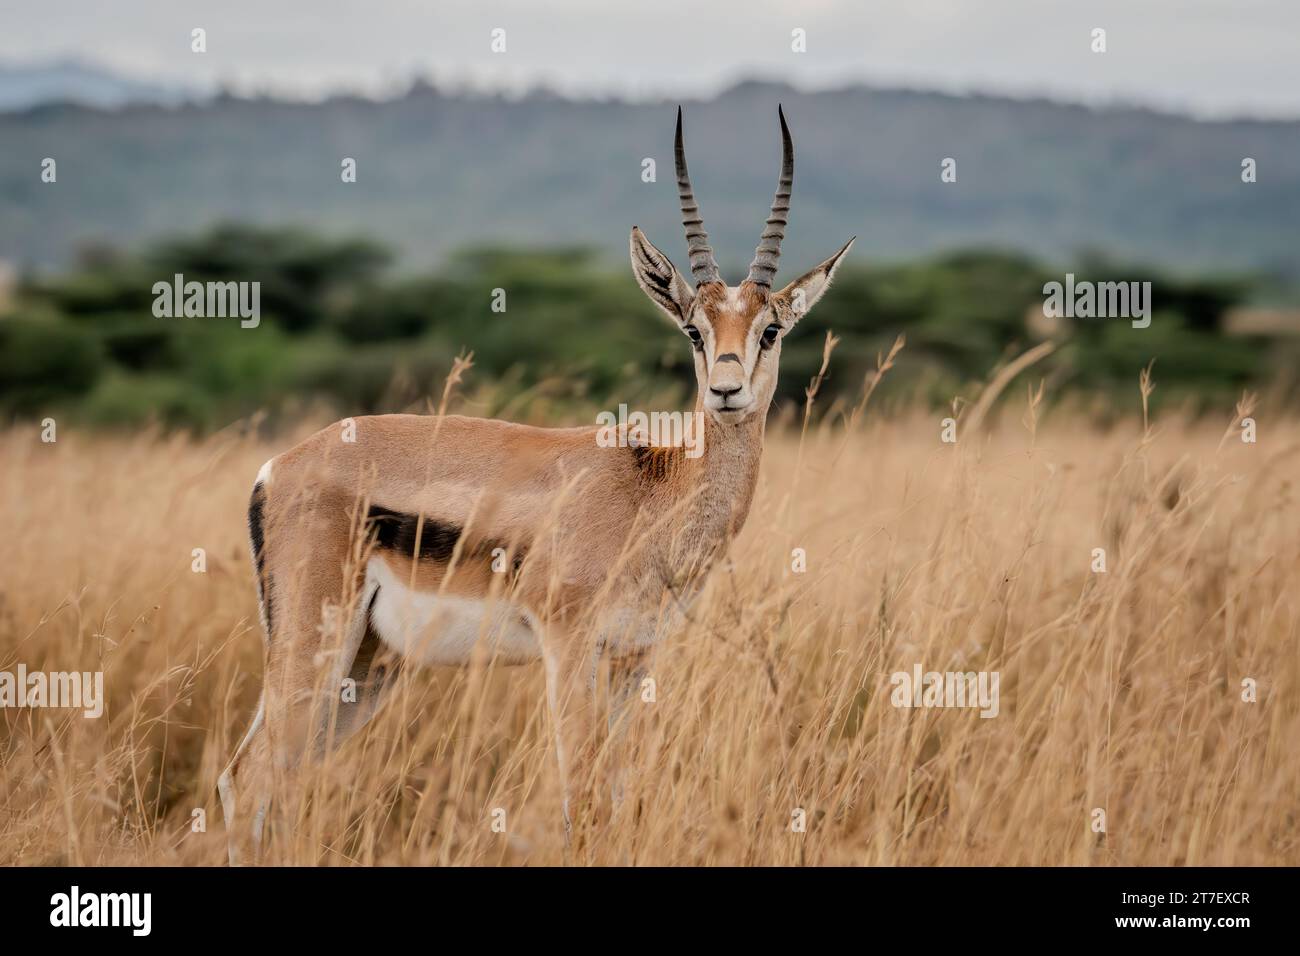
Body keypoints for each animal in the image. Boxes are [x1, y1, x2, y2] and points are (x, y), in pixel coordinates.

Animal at [217, 105, 854, 864]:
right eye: (694, 330)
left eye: (771, 329)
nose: (726, 392)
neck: (652, 492)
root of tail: (277, 468)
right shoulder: (569, 649)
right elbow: (583, 802)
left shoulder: (634, 658)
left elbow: (618, 799)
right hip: (318, 643)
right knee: (248, 778)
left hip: (366, 666)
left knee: (274, 779)